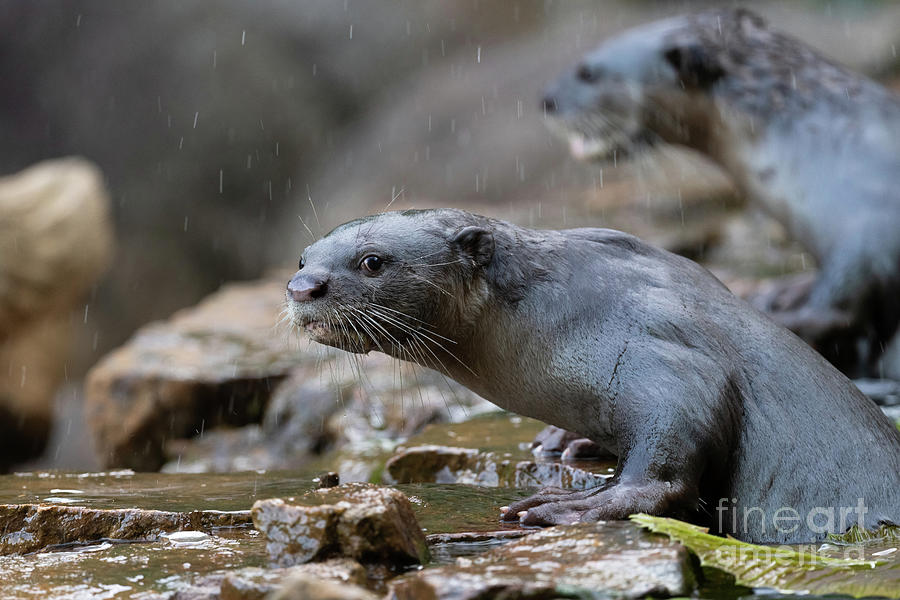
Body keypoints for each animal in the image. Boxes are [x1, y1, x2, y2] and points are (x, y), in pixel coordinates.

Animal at [286, 208, 900, 544]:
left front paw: (574, 505)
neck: (548, 314)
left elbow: (672, 457)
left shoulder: (656, 347)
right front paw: (568, 440)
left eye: (371, 261)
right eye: (302, 257)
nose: (302, 287)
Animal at [541, 8, 900, 379]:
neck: (825, 140)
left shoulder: (871, 225)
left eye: (587, 72)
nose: (546, 100)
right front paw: (779, 294)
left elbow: (842, 301)